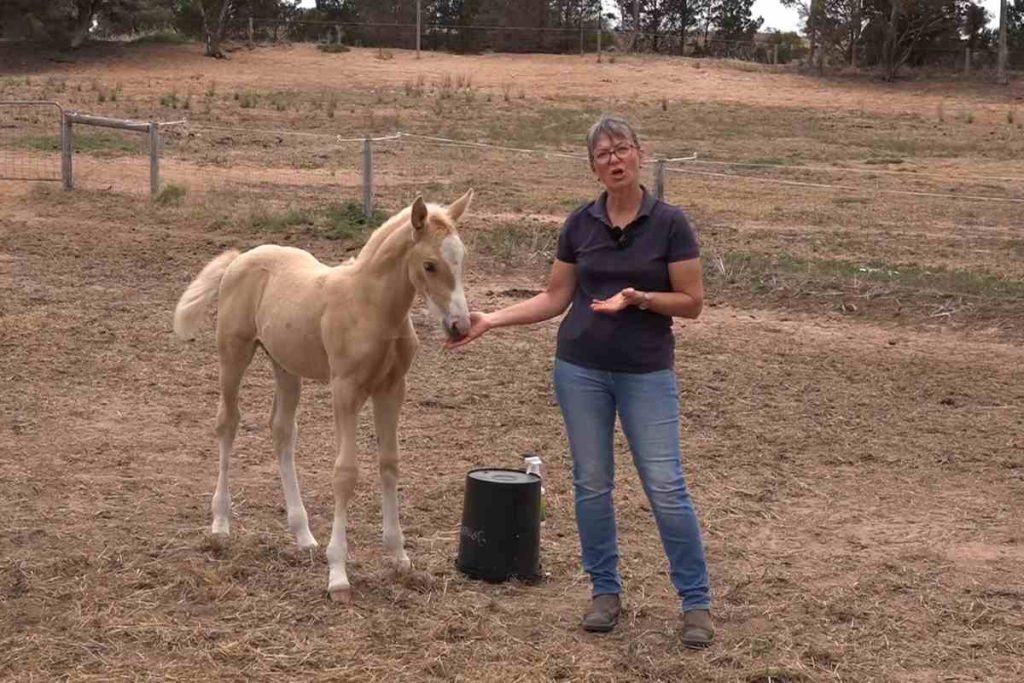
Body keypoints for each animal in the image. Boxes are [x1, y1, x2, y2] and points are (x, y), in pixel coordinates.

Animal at [172, 190, 474, 602]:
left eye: (462, 258)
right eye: (429, 265)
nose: (460, 326)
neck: (371, 307)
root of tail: (239, 259)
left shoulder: (392, 388)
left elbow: (389, 463)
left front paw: (398, 556)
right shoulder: (345, 390)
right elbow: (345, 472)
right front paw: (338, 574)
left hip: (285, 365)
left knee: (282, 431)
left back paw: (303, 534)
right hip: (233, 354)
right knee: (227, 423)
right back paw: (220, 523)